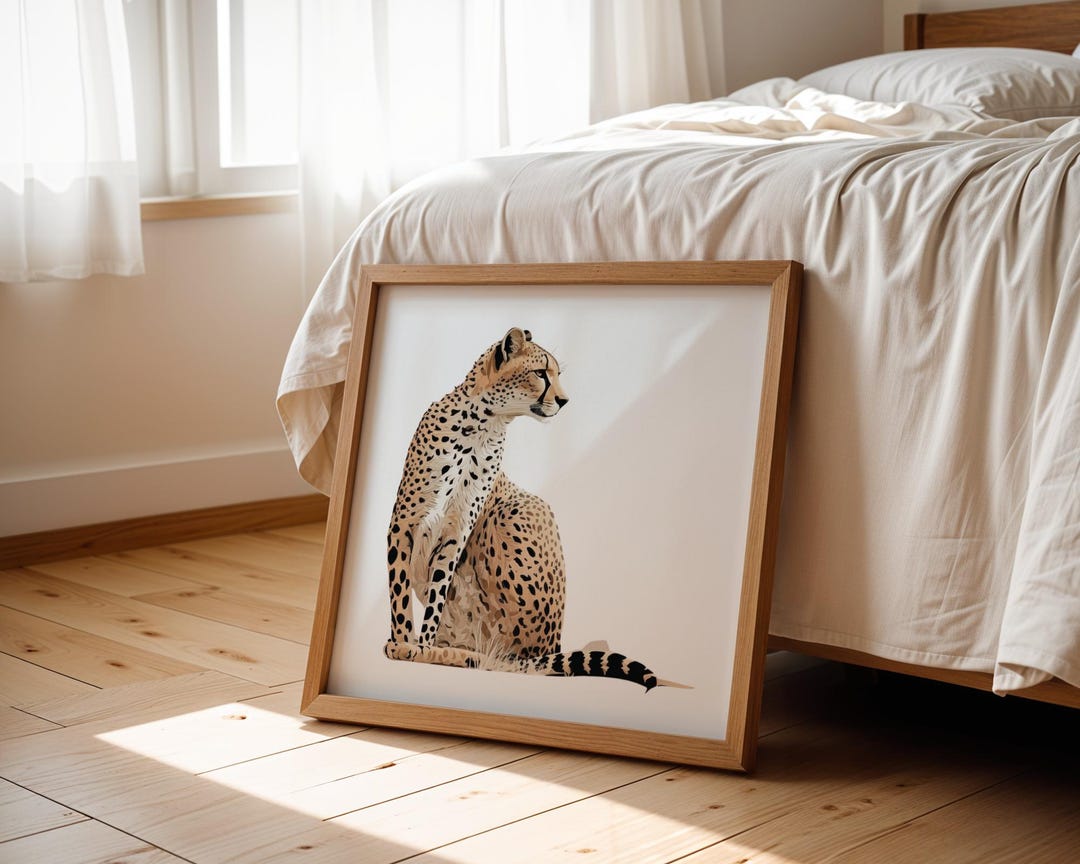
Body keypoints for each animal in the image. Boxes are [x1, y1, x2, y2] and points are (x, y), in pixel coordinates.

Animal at [382, 326, 674, 690]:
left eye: (557, 374)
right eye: (540, 373)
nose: (564, 401)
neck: (483, 424)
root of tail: (541, 650)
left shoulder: (456, 531)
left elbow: (435, 593)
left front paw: (419, 647)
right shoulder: (404, 523)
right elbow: (400, 591)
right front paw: (405, 643)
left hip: (517, 508)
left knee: (488, 657)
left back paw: (456, 653)